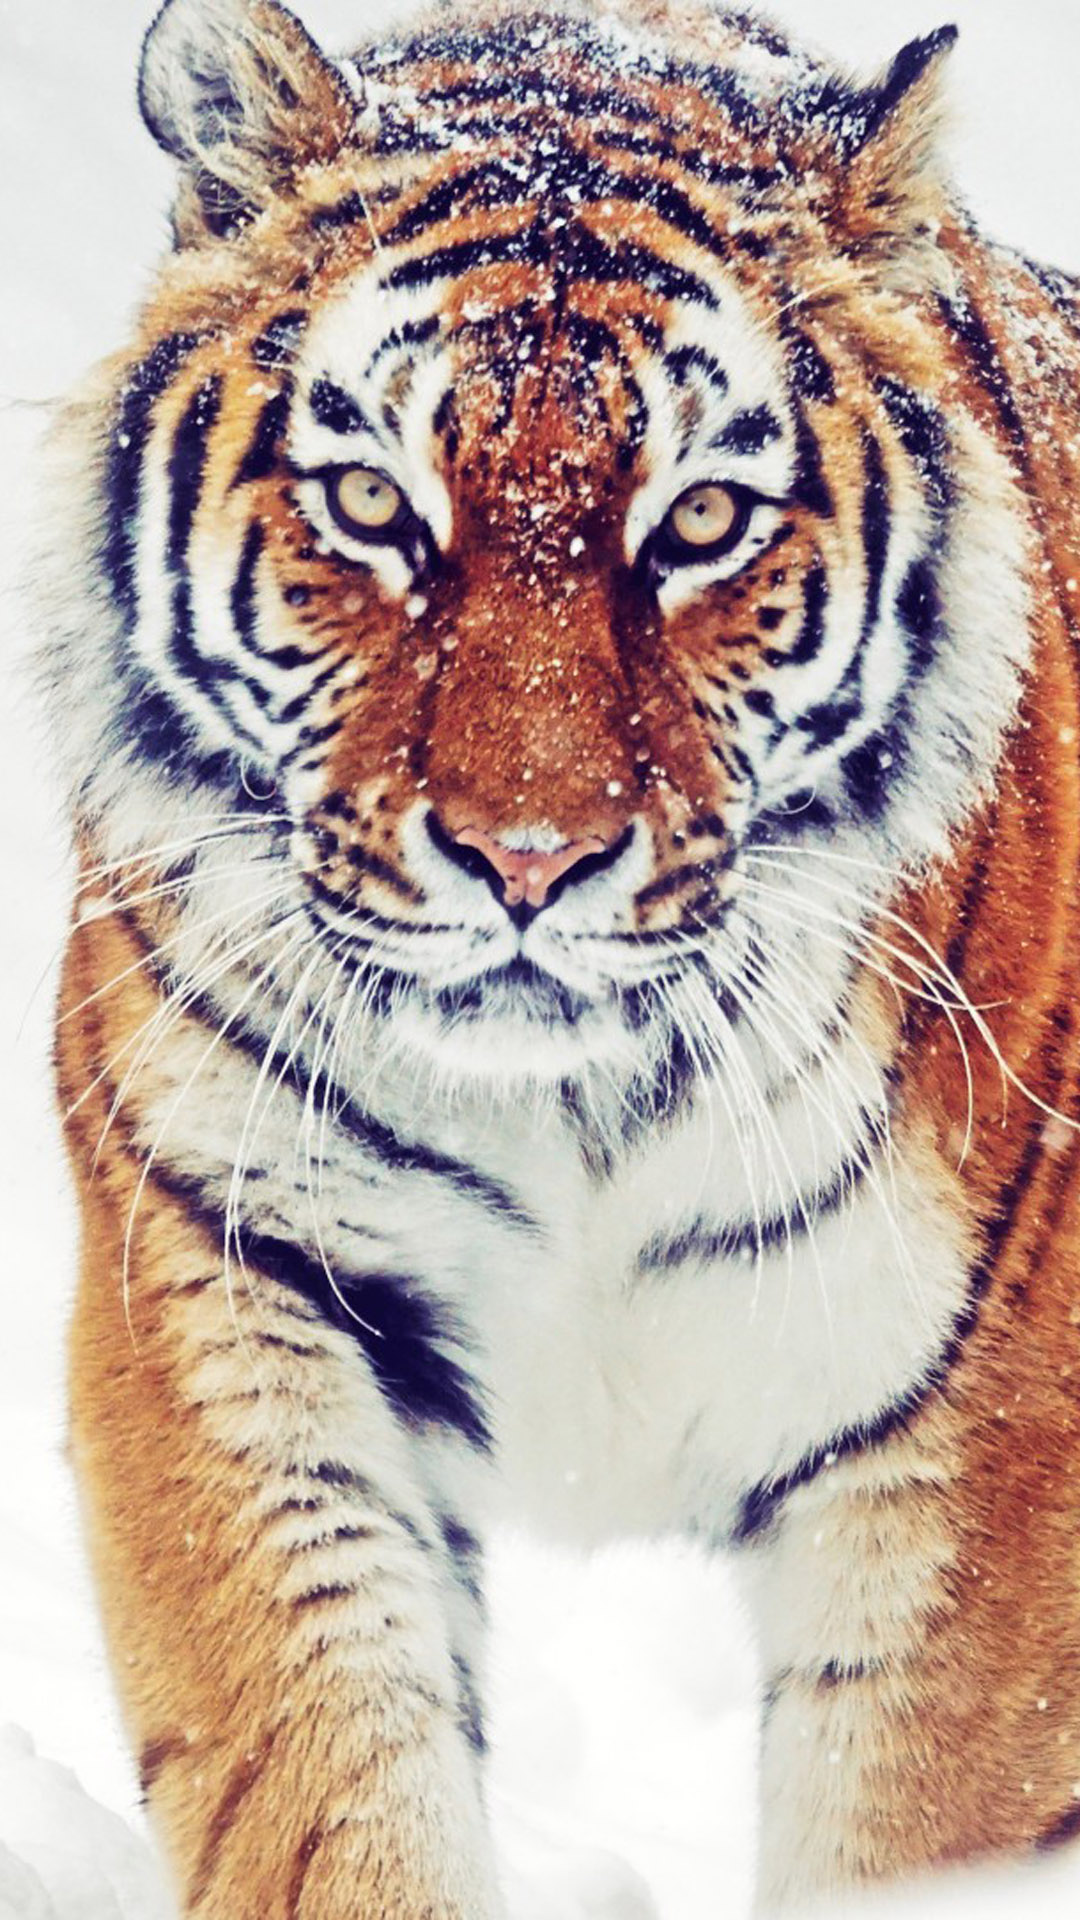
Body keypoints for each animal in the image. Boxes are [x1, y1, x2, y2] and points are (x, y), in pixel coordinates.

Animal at [36, 0, 1080, 1909]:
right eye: (373, 503)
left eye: (699, 525)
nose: (528, 861)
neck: (579, 1111)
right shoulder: (233, 1280)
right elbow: (328, 1785)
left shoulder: (986, 1434)